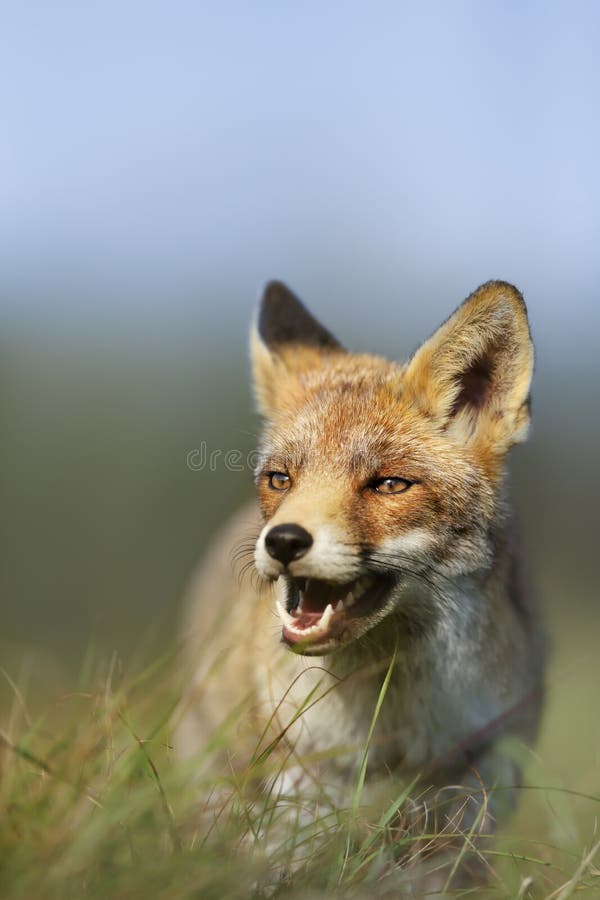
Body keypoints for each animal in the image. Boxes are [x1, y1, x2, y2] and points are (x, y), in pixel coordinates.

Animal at [176, 279, 546, 887]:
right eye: (281, 479)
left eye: (389, 485)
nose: (283, 541)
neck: (387, 736)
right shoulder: (291, 818)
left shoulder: (458, 830)